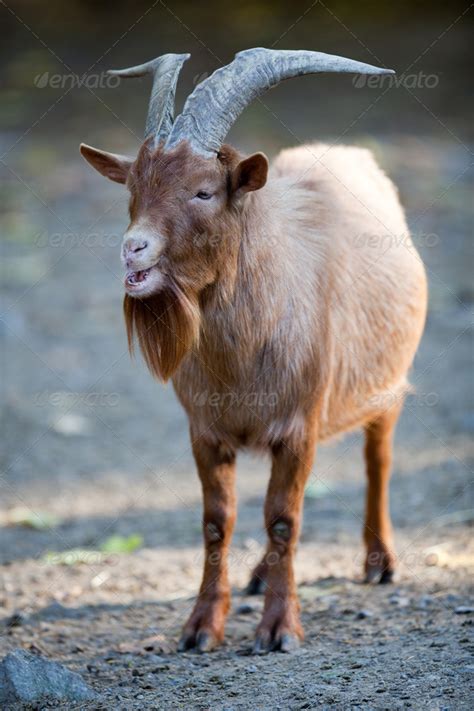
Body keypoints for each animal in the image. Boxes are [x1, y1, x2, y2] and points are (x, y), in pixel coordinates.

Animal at [80, 49, 427, 654]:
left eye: (203, 191)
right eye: (133, 188)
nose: (133, 248)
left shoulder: (300, 425)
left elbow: (284, 518)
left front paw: (280, 630)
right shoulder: (206, 431)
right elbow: (218, 521)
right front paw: (200, 628)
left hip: (387, 384)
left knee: (377, 457)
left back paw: (379, 562)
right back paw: (261, 575)